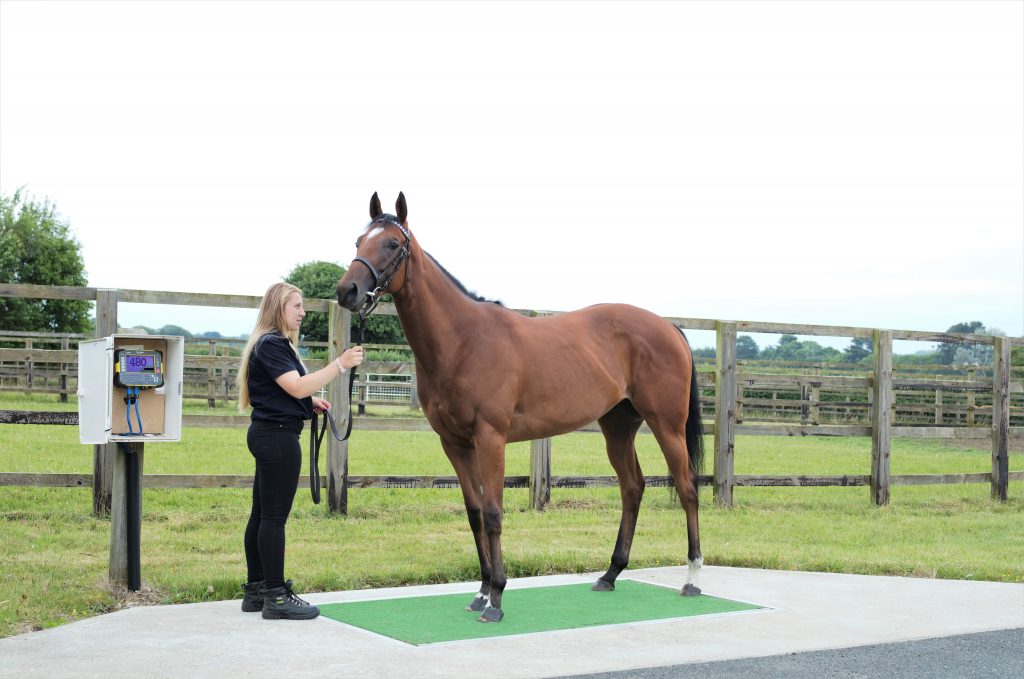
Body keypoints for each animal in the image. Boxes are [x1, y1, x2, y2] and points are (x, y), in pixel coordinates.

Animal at [336, 192, 705, 623]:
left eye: (392, 244)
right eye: (358, 241)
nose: (347, 291)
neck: (462, 340)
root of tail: (669, 328)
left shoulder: (491, 438)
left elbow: (494, 513)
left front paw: (496, 598)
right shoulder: (455, 444)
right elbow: (475, 513)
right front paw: (480, 592)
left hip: (667, 424)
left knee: (687, 487)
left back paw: (692, 577)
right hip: (617, 427)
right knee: (632, 488)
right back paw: (611, 573)